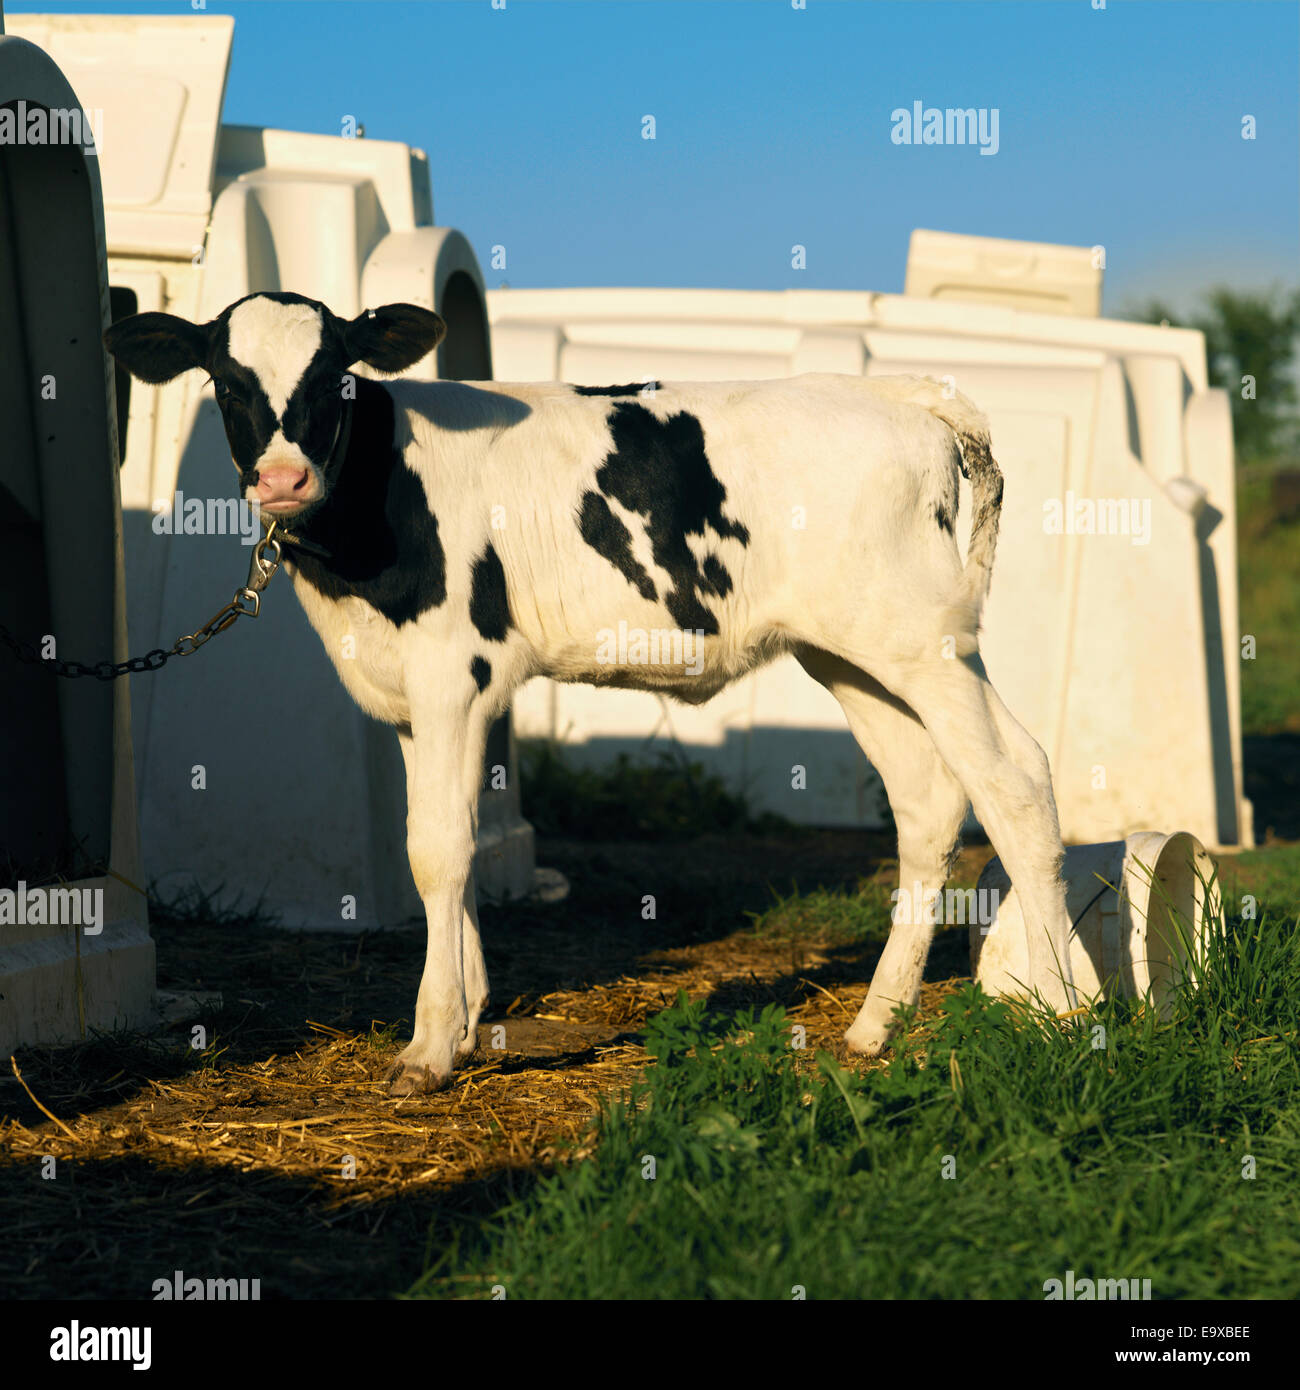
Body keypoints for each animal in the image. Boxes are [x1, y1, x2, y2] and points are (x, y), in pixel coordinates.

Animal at [105, 291, 1078, 1095]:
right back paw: (876, 1025)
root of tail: (900, 394)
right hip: (855, 656)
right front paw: (467, 1019)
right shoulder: (416, 699)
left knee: (1017, 783)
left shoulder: (452, 672)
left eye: (334, 374)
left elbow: (437, 851)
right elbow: (449, 843)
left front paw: (428, 1048)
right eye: (227, 381)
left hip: (926, 644)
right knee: (928, 801)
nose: (282, 480)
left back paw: (1069, 1010)